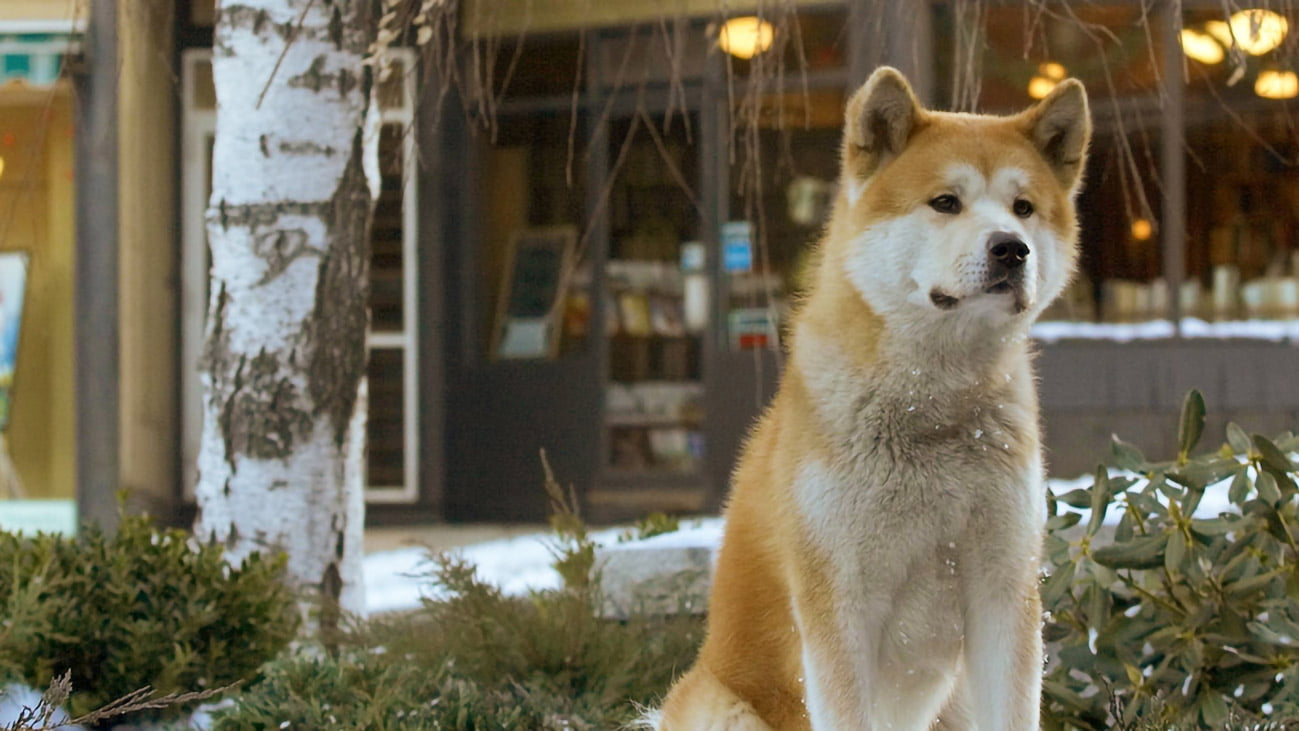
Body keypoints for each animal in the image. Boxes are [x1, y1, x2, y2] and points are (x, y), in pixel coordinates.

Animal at [654, 65, 1091, 727]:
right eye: (946, 201)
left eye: (1024, 208)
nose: (1011, 247)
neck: (930, 410)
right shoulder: (840, 604)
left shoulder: (1003, 592)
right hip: (725, 705)